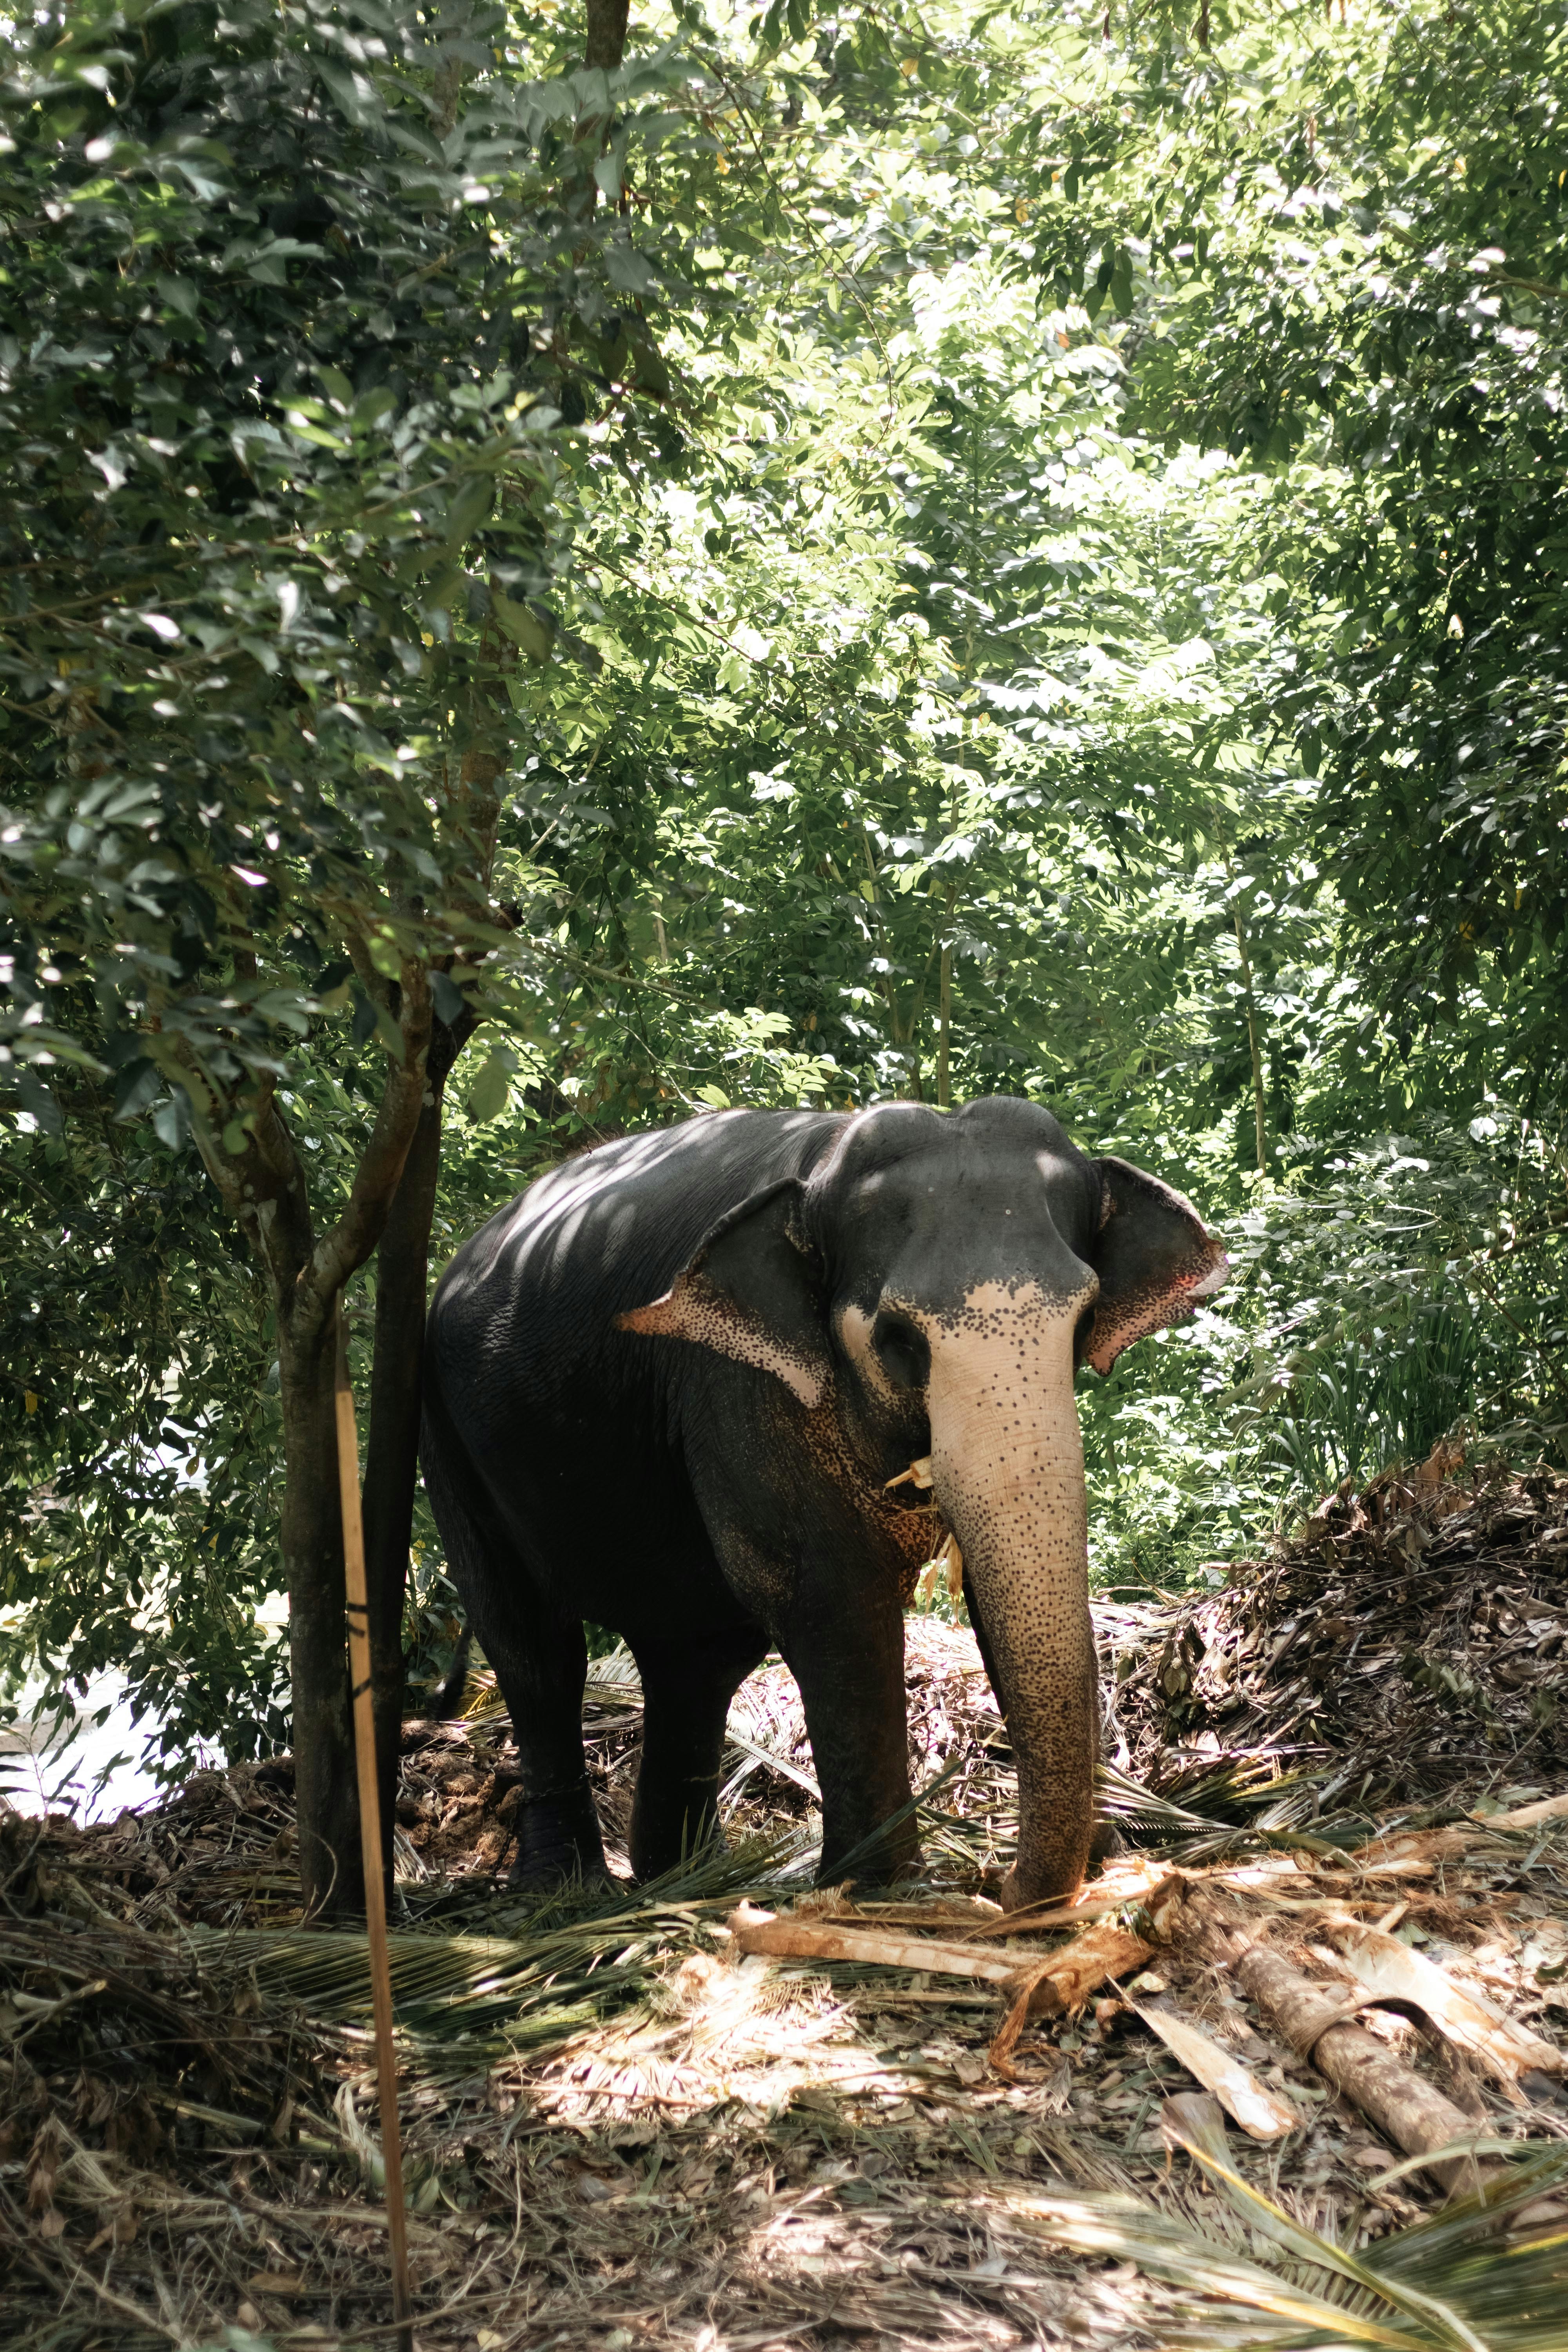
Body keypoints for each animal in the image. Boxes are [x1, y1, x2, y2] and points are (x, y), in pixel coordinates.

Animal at [420, 1096, 1226, 1910]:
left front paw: (1105, 1857)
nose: (1002, 1885)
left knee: (695, 1655)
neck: (825, 1159)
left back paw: (684, 1876)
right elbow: (831, 1596)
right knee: (533, 1645)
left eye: (1083, 1319)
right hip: (448, 1437)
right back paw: (569, 1890)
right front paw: (883, 1892)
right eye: (900, 1338)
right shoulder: (741, 1384)